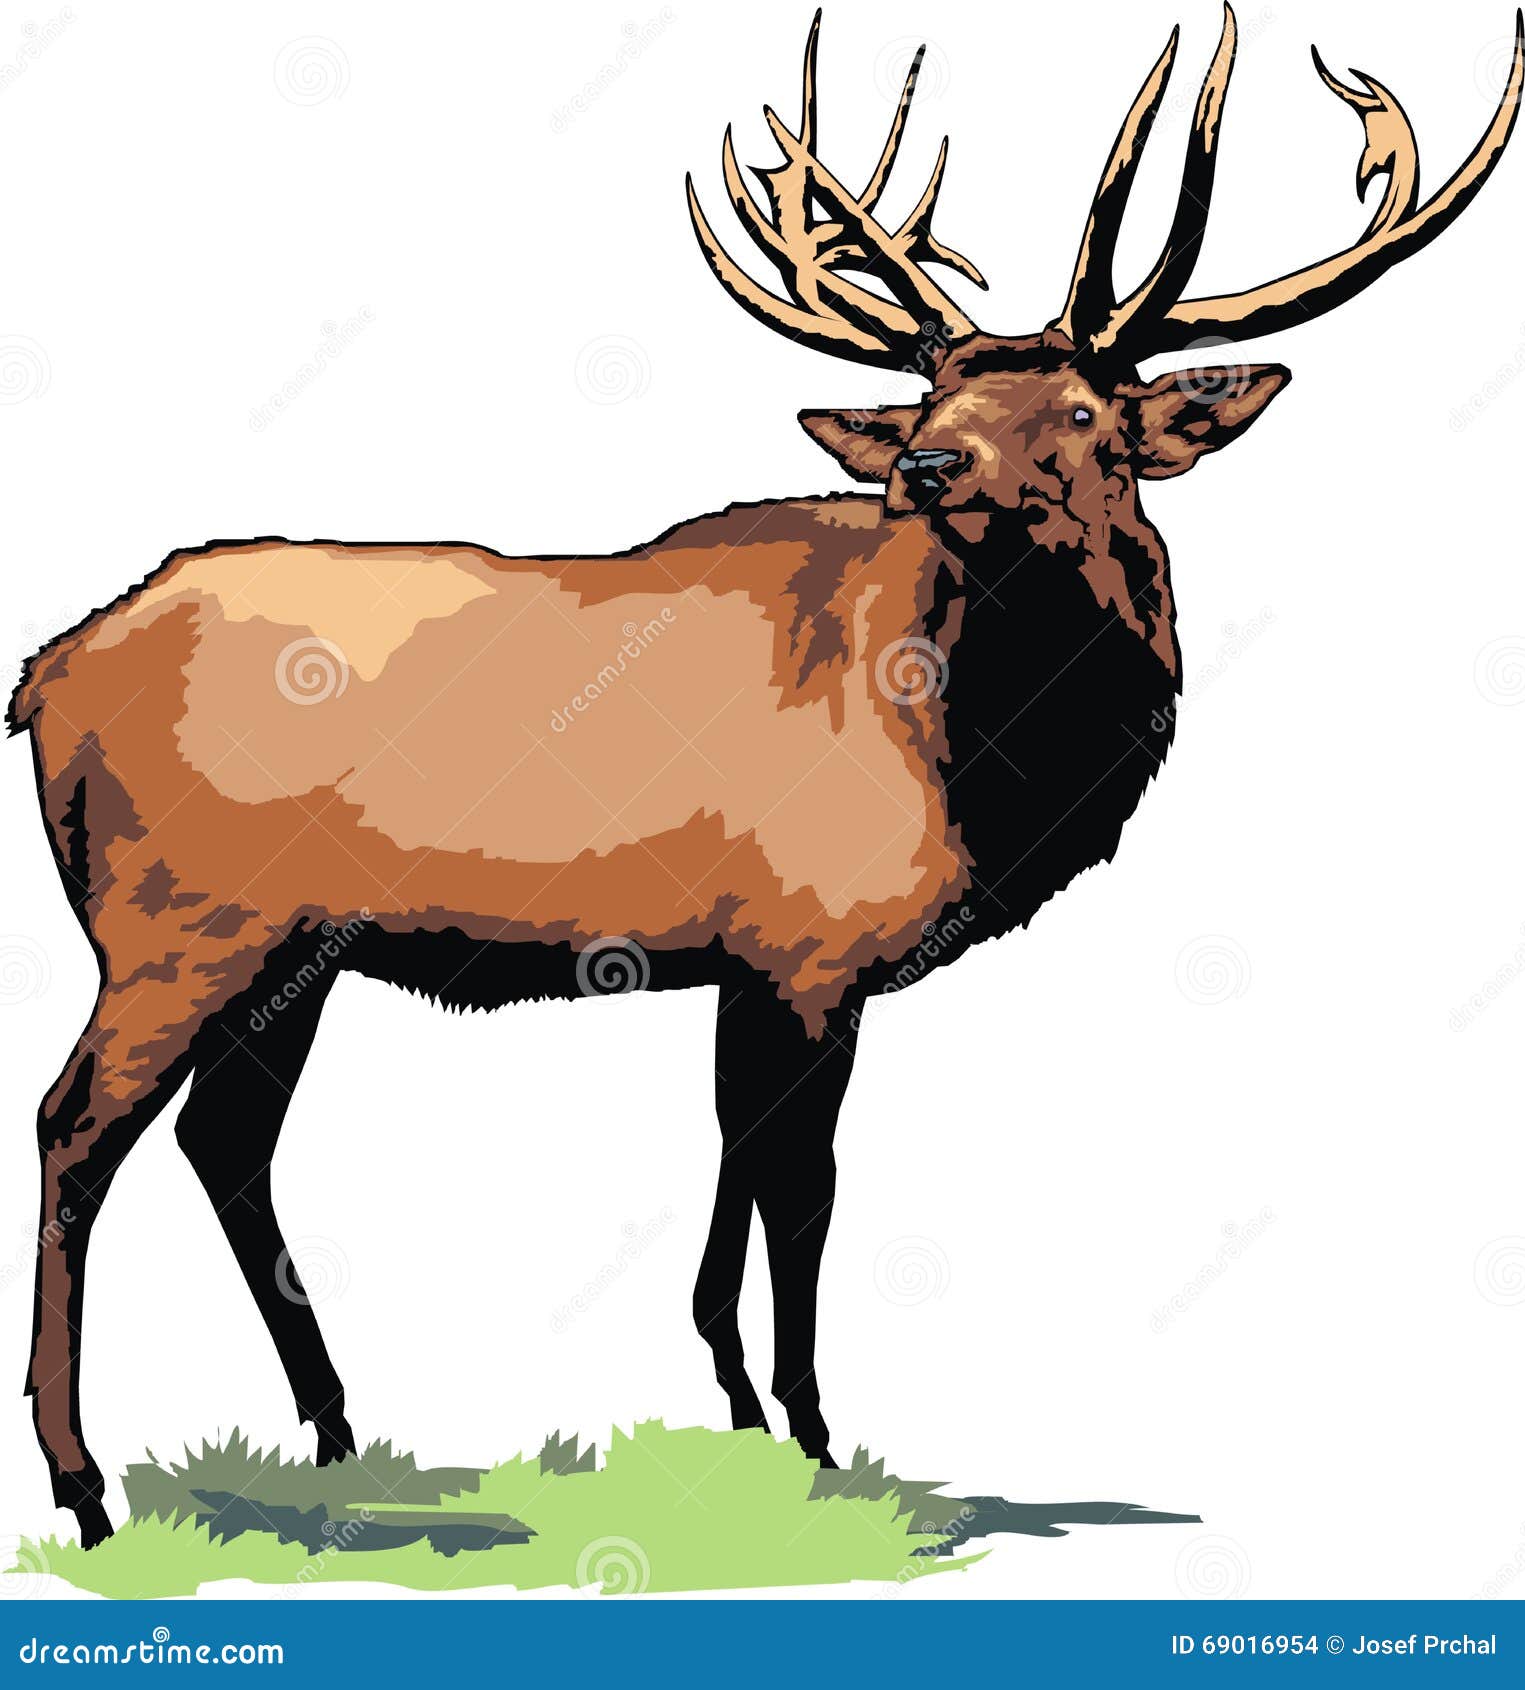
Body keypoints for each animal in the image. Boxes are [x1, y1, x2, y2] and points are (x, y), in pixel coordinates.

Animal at [11, 7, 1521, 1547]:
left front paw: (736, 1411)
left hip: (295, 950)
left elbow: (734, 1162)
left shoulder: (744, 957)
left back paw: (331, 1424)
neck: (981, 773)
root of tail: (44, 674)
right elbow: (804, 1187)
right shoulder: (811, 942)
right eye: (934, 395)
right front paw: (814, 1431)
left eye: (1091, 417)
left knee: (225, 1140)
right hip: (178, 923)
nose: (926, 465)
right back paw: (84, 1481)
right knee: (76, 1127)